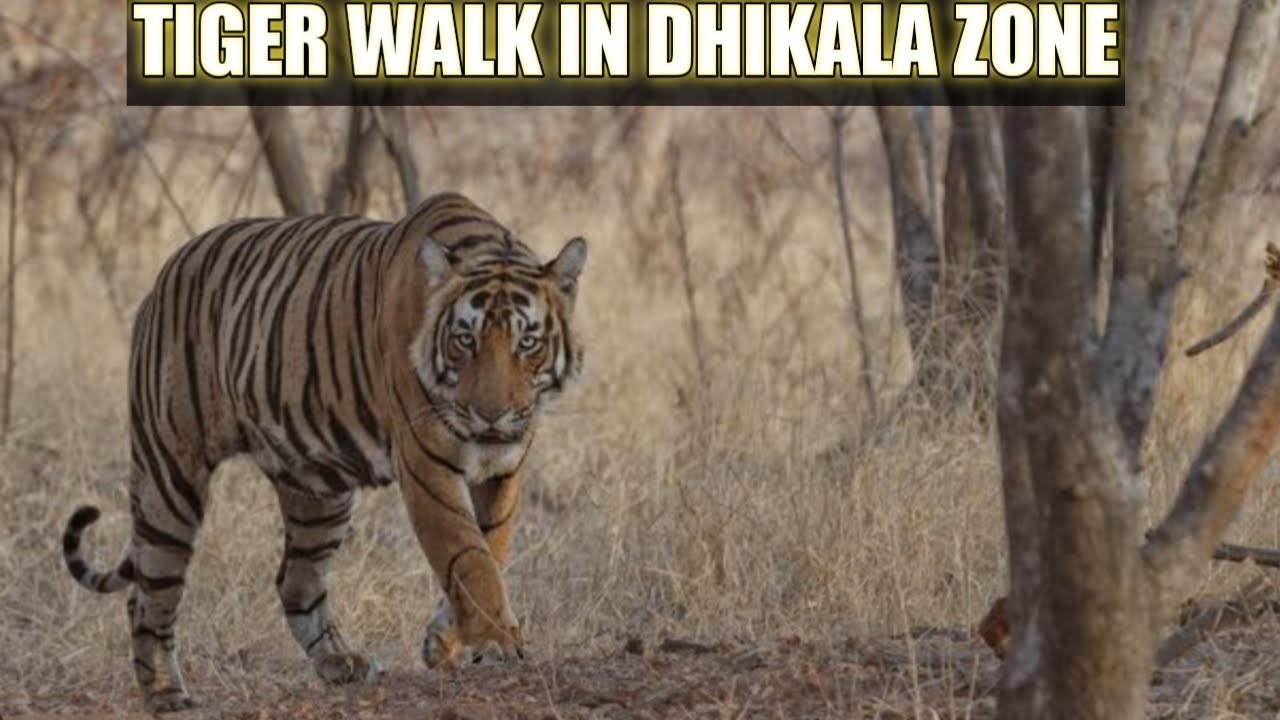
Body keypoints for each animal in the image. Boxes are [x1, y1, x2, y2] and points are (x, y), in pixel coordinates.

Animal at [59, 191, 587, 712]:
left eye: (528, 342)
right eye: (465, 341)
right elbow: (465, 552)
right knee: (149, 593)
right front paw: (494, 642)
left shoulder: (502, 470)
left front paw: (445, 640)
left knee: (295, 580)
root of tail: (165, 272)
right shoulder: (426, 466)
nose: (492, 415)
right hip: (170, 473)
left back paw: (341, 662)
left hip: (315, 488)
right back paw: (166, 694)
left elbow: (490, 546)